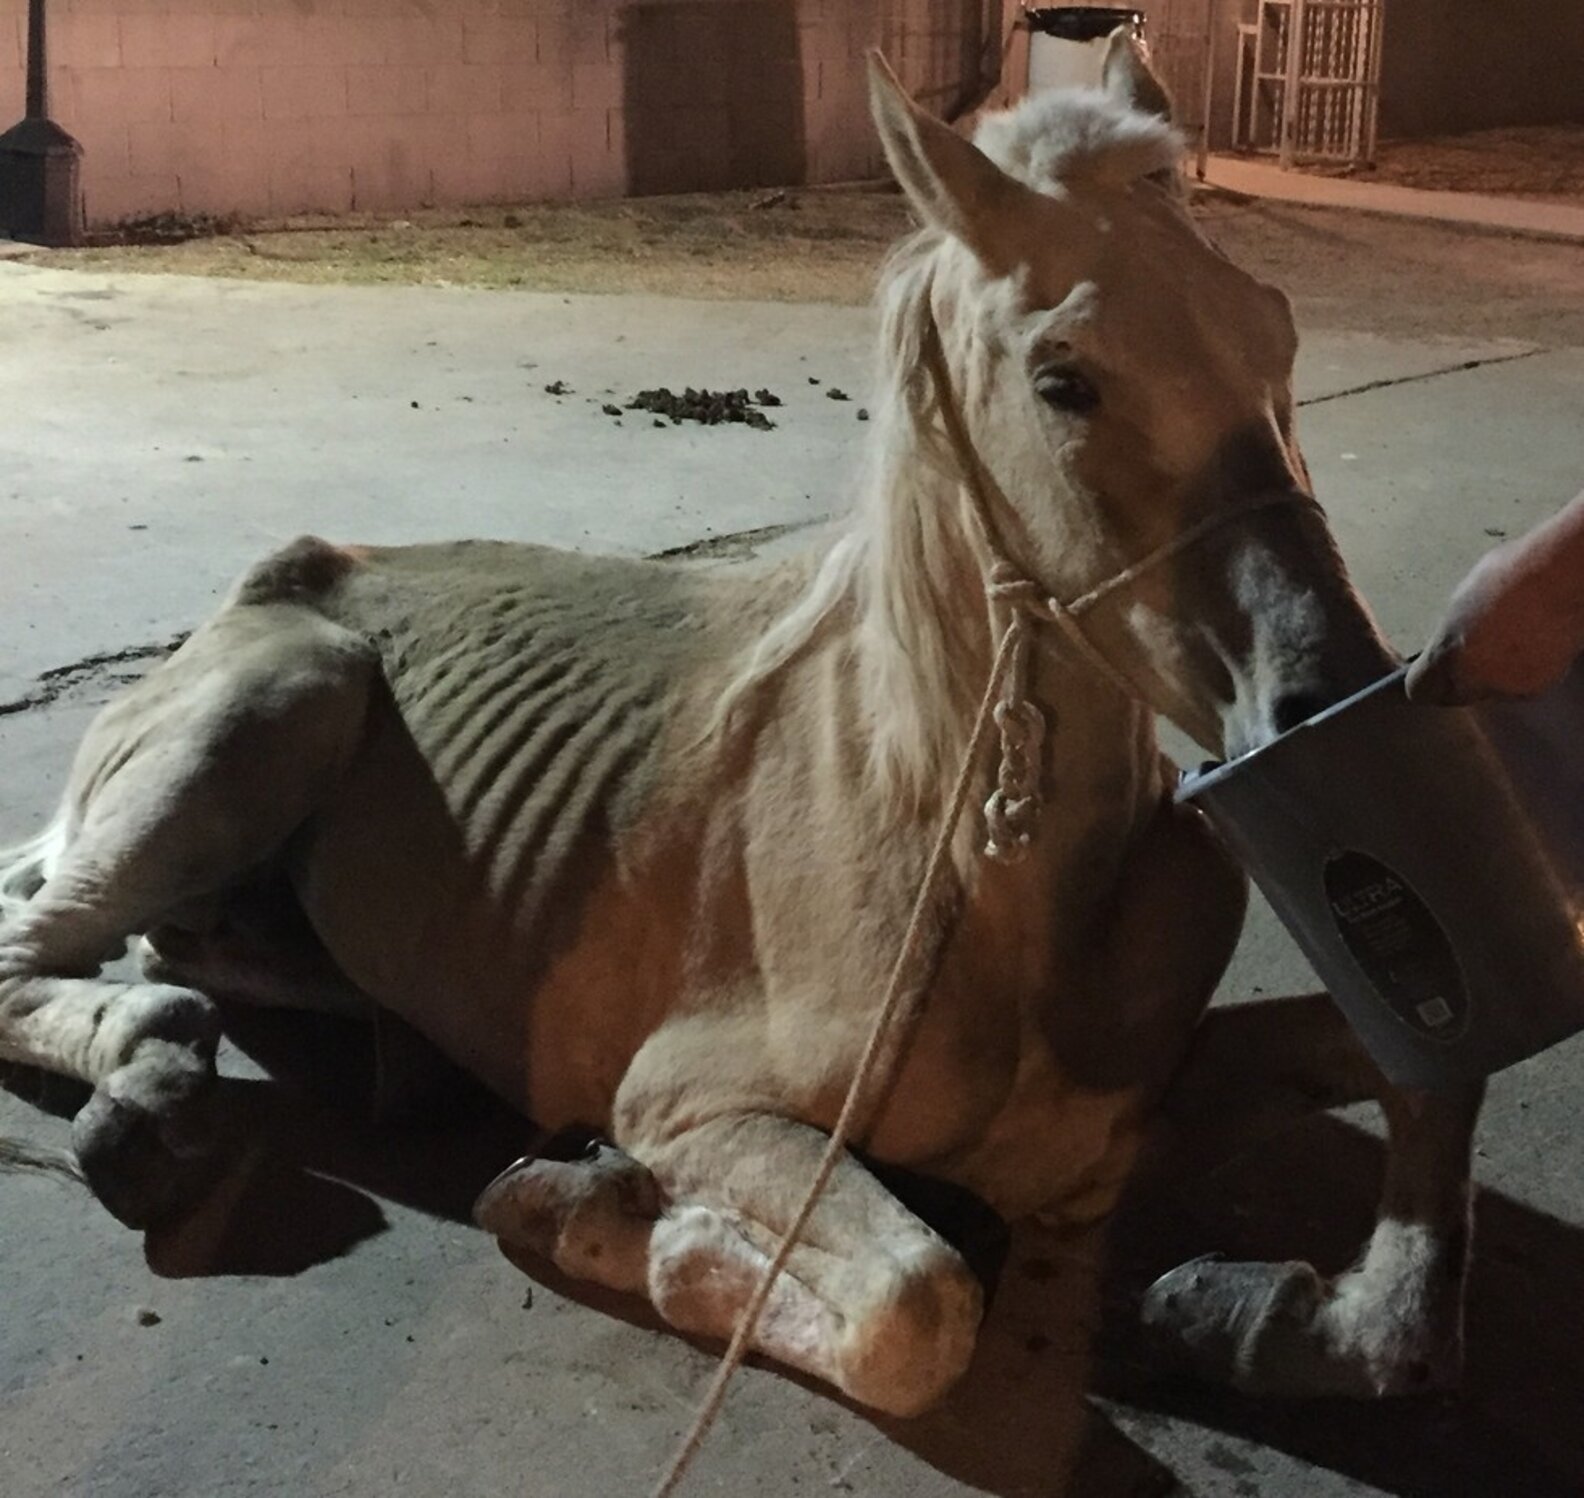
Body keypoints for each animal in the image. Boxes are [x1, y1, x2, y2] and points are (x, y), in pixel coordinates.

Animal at [0, 38, 1481, 1418]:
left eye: (1275, 328)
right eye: (1064, 378)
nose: (1338, 692)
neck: (972, 874)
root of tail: (285, 574)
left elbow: (1423, 1075)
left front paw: (1297, 1317)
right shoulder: (700, 1105)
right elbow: (918, 1304)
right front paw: (588, 1211)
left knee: (183, 948)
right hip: (281, 703)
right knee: (39, 949)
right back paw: (149, 1088)